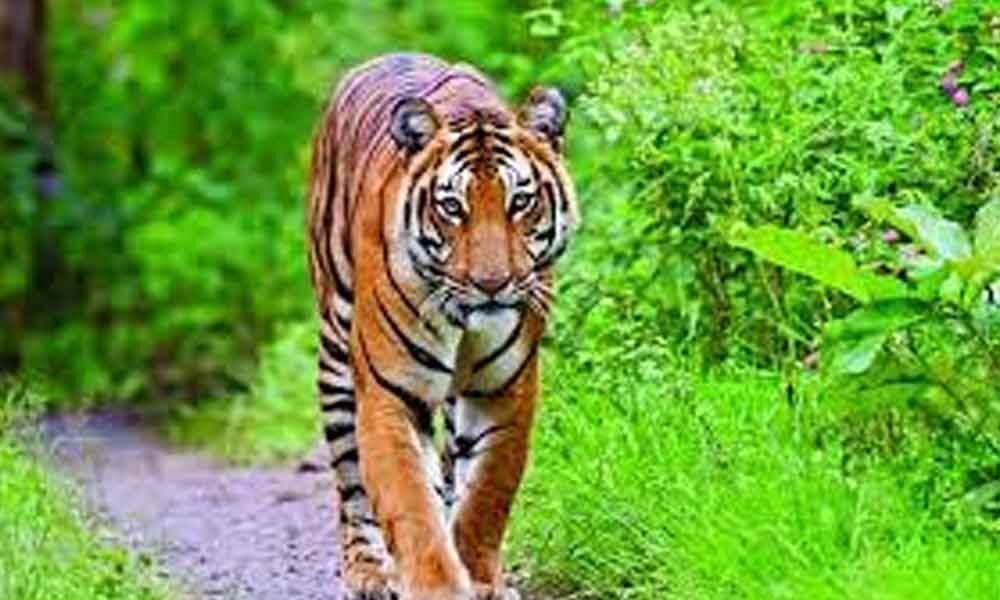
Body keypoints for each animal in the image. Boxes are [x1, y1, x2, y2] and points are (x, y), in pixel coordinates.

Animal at [306, 53, 577, 600]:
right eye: (453, 207)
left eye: (520, 202)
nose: (492, 284)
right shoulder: (389, 393)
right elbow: (409, 502)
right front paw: (437, 585)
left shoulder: (504, 392)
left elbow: (486, 497)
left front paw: (481, 580)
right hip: (336, 356)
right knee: (351, 481)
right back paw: (368, 572)